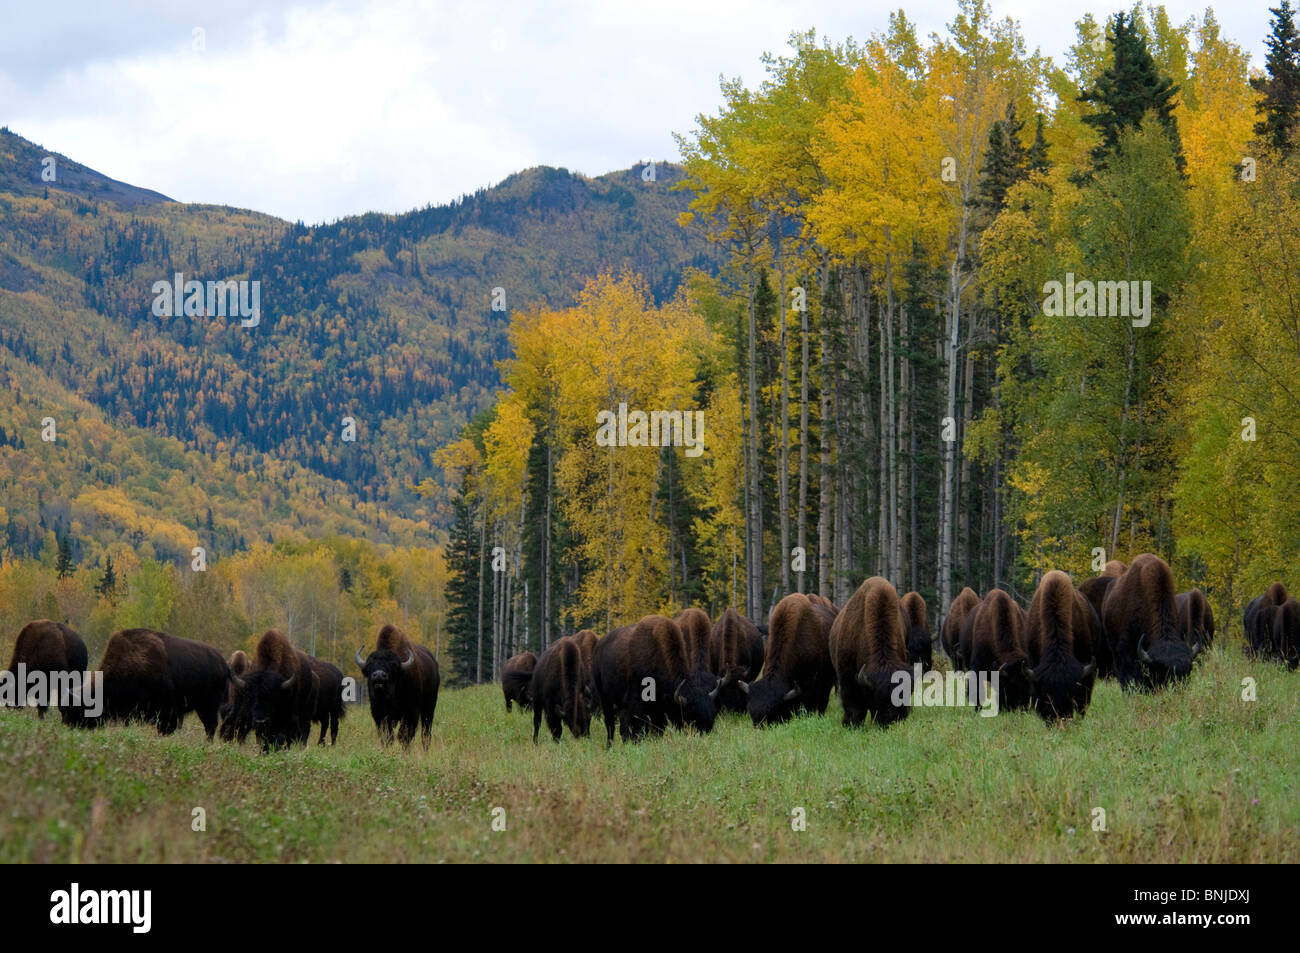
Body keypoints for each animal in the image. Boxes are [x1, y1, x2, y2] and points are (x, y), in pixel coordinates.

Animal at [828, 577, 911, 727]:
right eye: (879, 698)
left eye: (906, 693)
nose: (894, 719)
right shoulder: (847, 676)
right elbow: (853, 705)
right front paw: (850, 724)